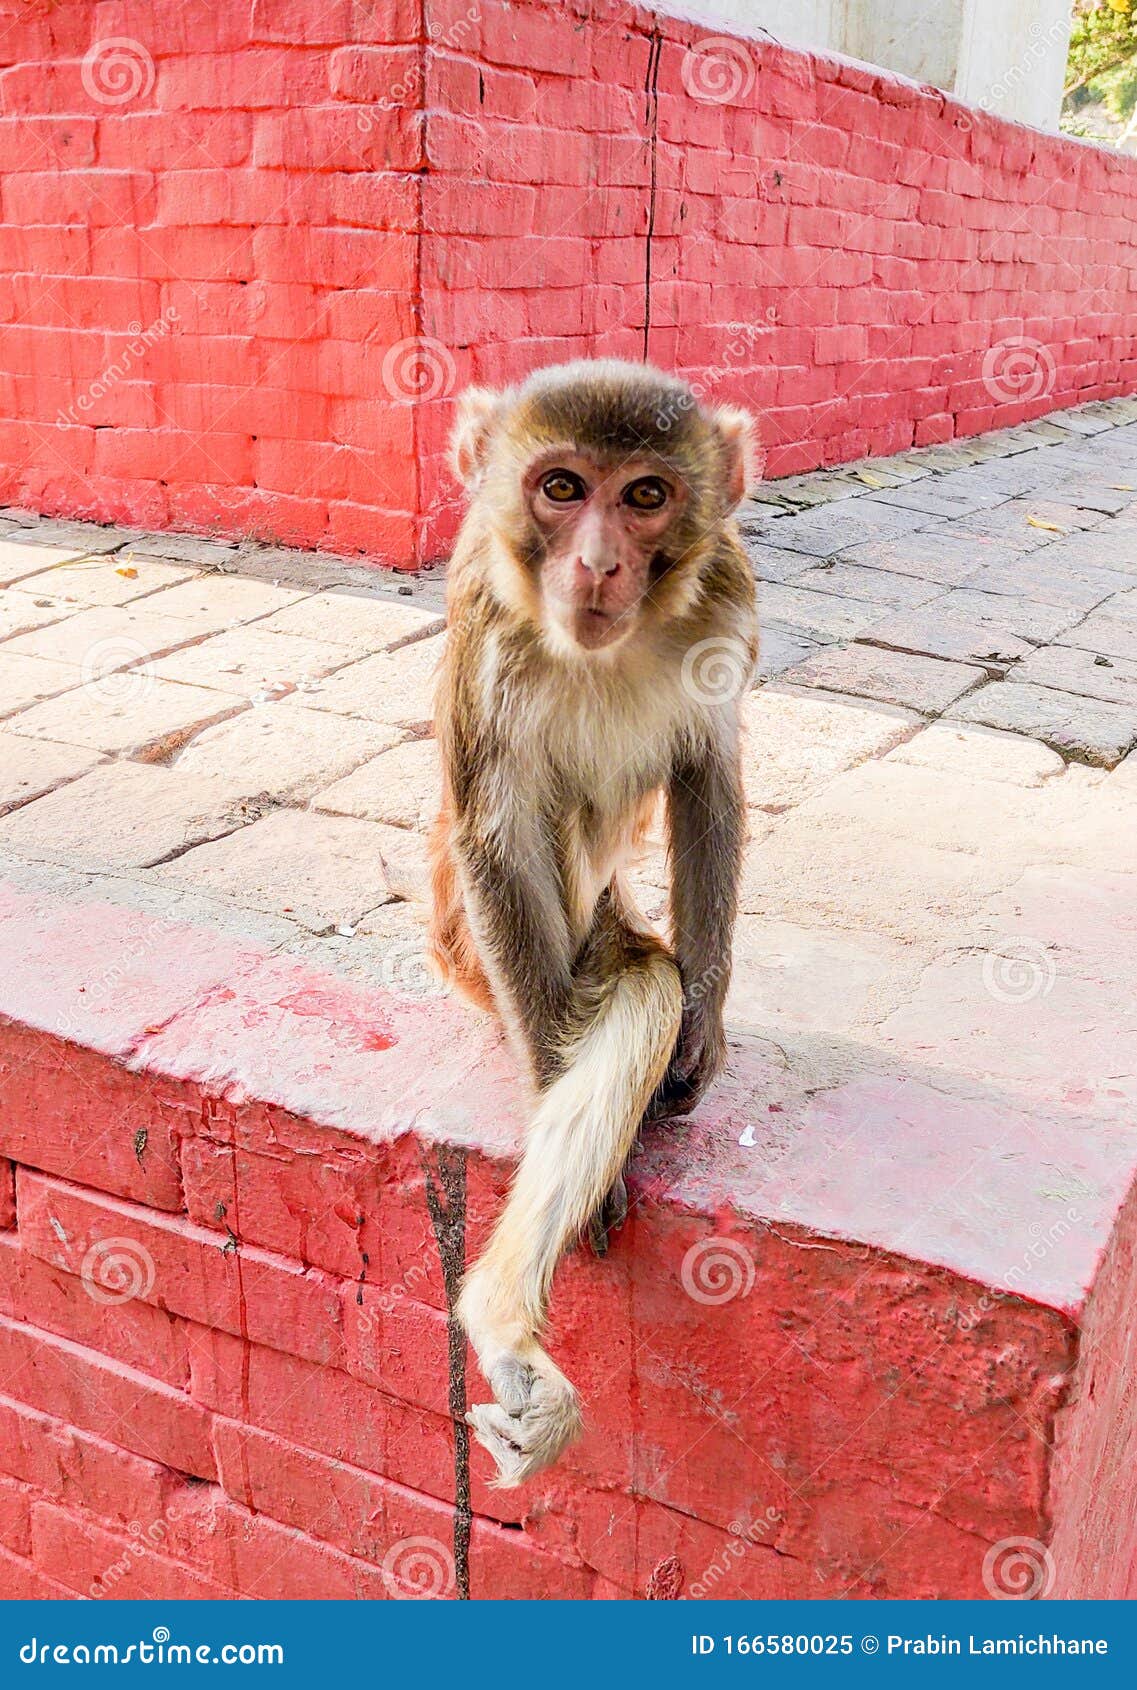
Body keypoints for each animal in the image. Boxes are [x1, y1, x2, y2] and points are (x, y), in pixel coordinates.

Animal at [428, 359, 758, 1486]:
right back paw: (502, 1325)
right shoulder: (485, 612)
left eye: (645, 496)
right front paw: (548, 1079)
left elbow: (706, 775)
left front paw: (705, 1026)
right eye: (562, 489)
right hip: (465, 946)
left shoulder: (727, 595)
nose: (601, 562)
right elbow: (497, 830)